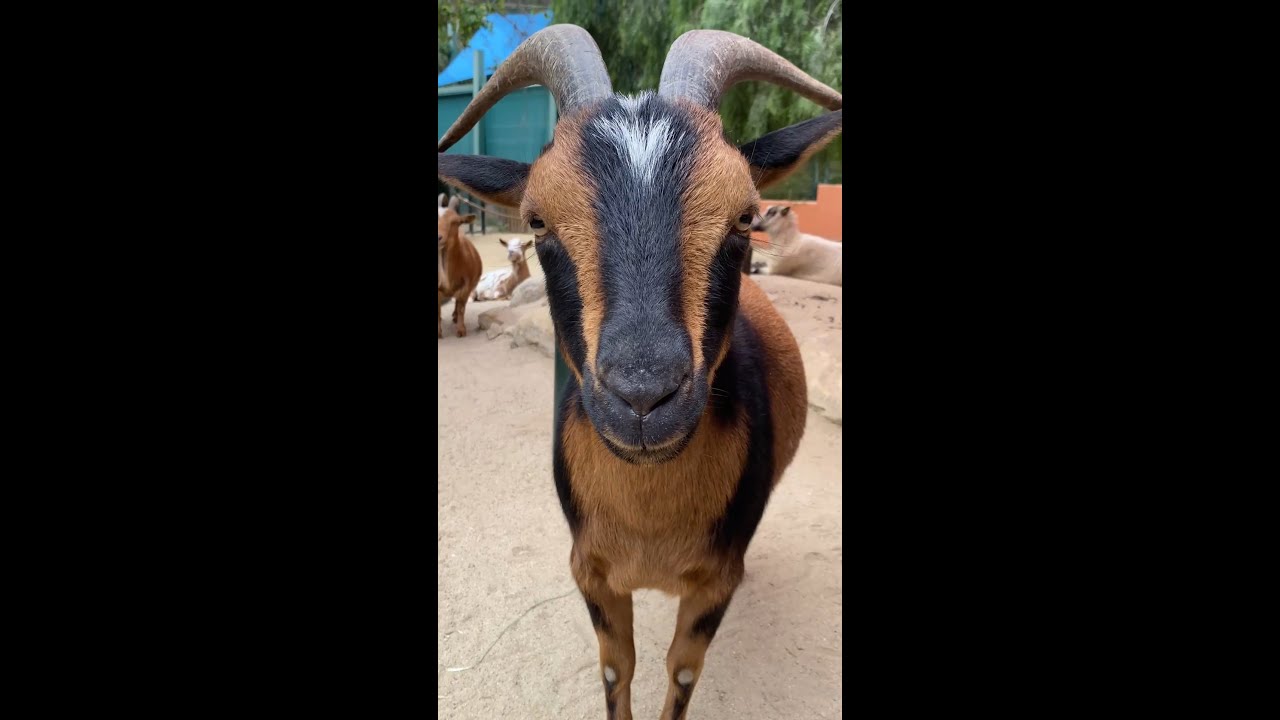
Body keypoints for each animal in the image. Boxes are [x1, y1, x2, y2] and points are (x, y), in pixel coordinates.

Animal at [437, 197, 482, 338]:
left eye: (455, 222)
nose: (438, 237)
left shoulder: (466, 285)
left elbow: (461, 306)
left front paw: (461, 330)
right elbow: (438, 310)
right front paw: (439, 333)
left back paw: (455, 317)